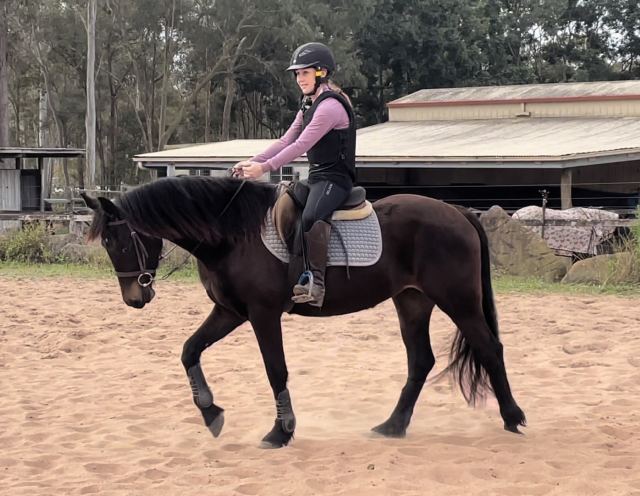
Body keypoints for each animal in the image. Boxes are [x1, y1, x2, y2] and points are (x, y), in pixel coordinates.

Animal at [82, 175, 526, 448]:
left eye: (118, 240)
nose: (134, 298)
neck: (233, 235)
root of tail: (458, 212)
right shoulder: (229, 311)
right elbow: (189, 350)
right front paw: (211, 413)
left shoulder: (262, 314)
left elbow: (275, 370)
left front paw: (281, 432)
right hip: (413, 302)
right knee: (421, 361)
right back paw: (392, 426)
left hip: (458, 301)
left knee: (490, 349)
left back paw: (512, 417)